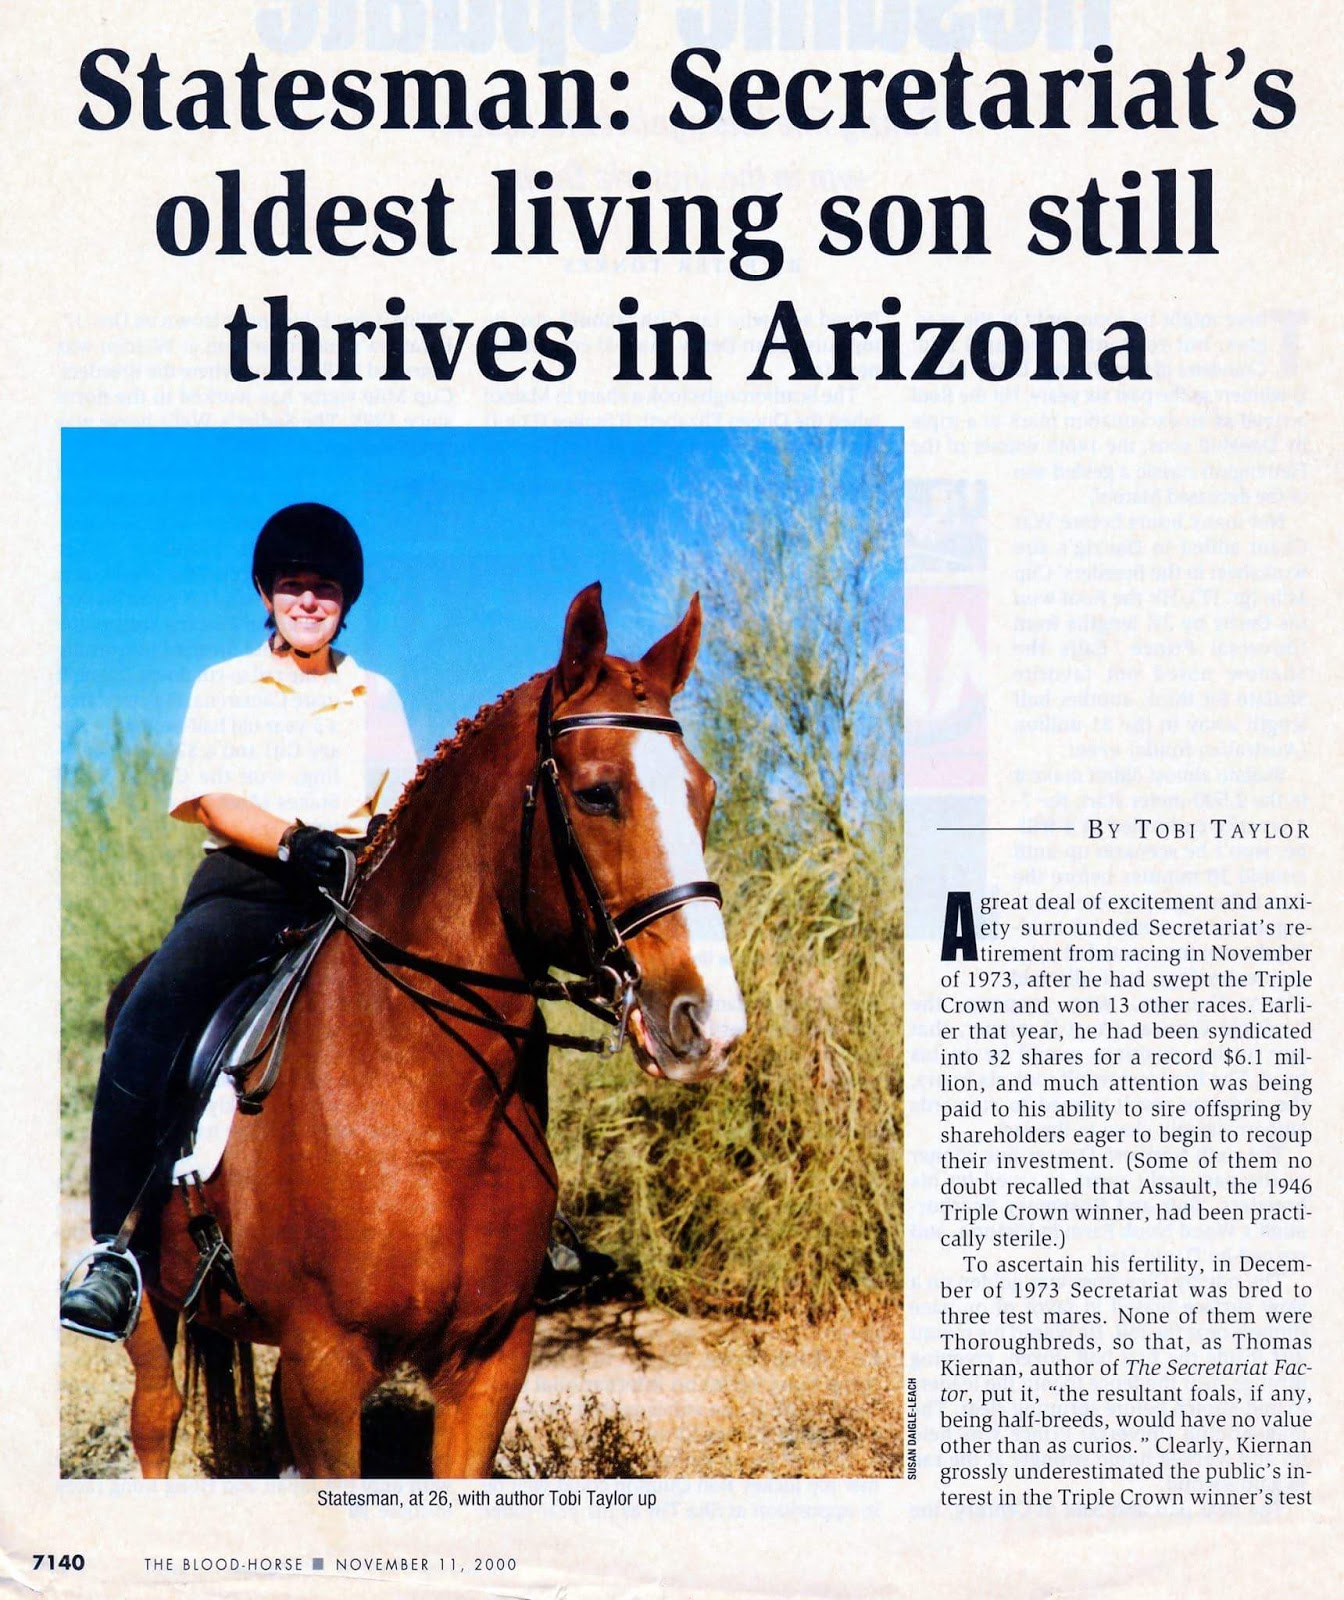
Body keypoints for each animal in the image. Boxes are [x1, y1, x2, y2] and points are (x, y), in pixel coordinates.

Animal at [119, 582, 746, 1478]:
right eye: (598, 793)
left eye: (706, 793)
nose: (709, 1021)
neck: (424, 1103)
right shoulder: (326, 1363)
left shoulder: (488, 1365)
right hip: (151, 1302)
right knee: (156, 1415)